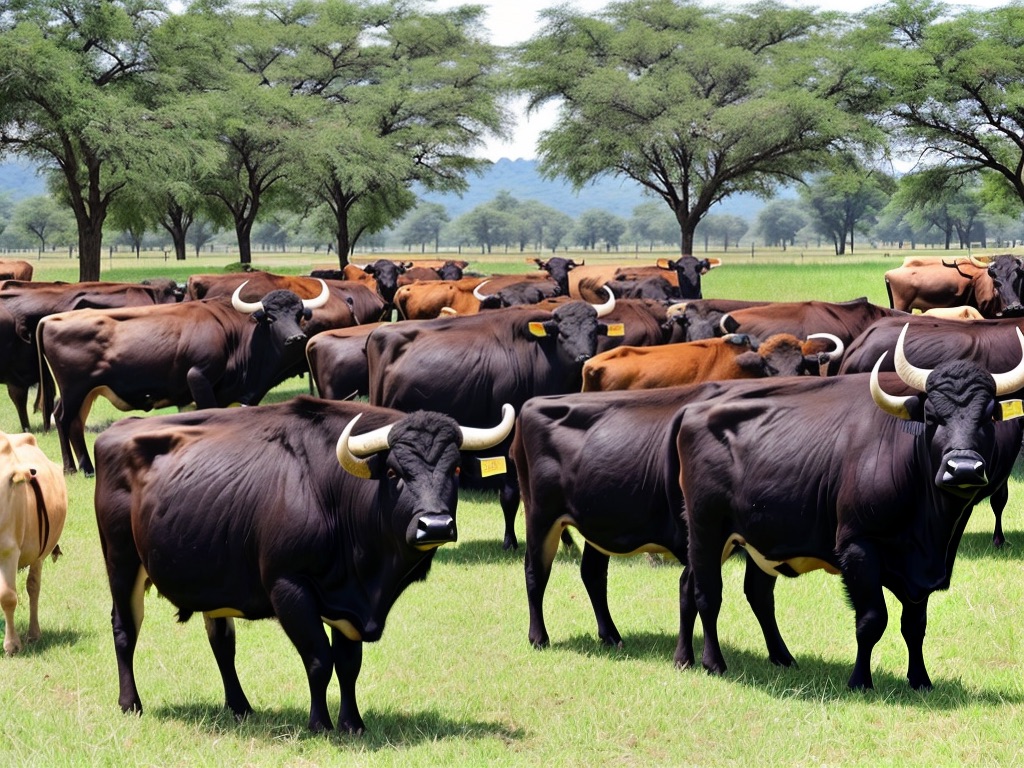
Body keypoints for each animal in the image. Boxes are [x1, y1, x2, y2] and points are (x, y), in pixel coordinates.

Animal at [0, 434, 66, 655]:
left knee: (33, 587)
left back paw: (33, 633)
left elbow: (7, 596)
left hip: (39, 555)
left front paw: (12, 644)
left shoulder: (8, 551)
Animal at [37, 282, 327, 475]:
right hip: (74, 390)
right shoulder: (198, 377)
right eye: (270, 316)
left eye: (298, 314)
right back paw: (72, 468)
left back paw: (86, 467)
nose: (296, 338)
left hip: (87, 393)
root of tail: (52, 318)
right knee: (62, 419)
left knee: (74, 423)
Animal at [93, 399, 516, 737]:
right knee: (124, 629)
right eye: (395, 472)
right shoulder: (289, 587)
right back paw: (131, 703)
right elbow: (319, 659)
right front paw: (320, 723)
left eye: (455, 470)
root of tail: (116, 431)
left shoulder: (348, 605)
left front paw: (352, 723)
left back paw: (240, 706)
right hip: (122, 562)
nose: (436, 525)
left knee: (222, 644)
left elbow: (348, 665)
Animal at [671, 325, 1024, 692]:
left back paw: (709, 658)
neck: (930, 530)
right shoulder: (858, 548)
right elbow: (871, 620)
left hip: (748, 539)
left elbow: (915, 625)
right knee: (707, 593)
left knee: (720, 588)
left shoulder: (921, 571)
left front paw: (920, 679)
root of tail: (694, 411)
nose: (964, 468)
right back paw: (713, 662)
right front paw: (860, 679)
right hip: (706, 528)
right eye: (932, 417)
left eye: (988, 416)